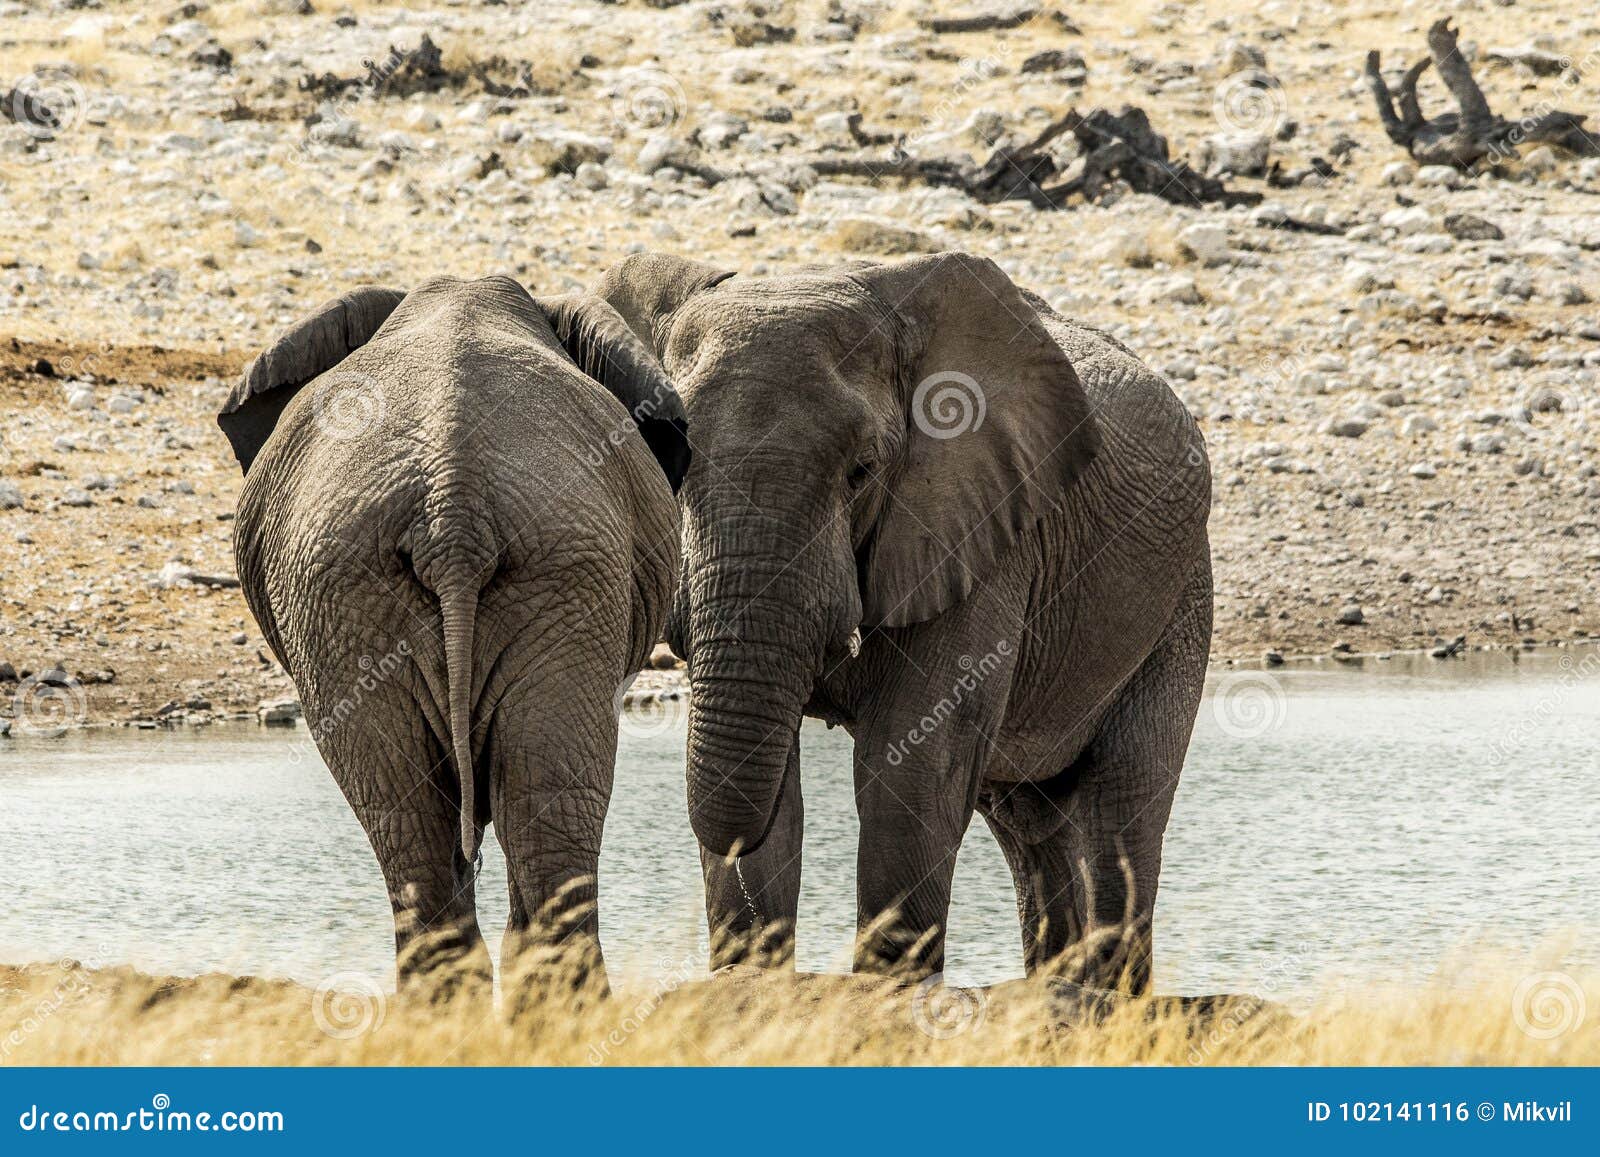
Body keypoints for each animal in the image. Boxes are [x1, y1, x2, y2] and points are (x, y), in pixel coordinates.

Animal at [595, 250, 1213, 992]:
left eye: (861, 472)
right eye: (675, 461)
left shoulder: (983, 534)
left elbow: (913, 767)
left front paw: (885, 990)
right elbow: (775, 781)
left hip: (1182, 599)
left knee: (1123, 806)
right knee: (1031, 824)